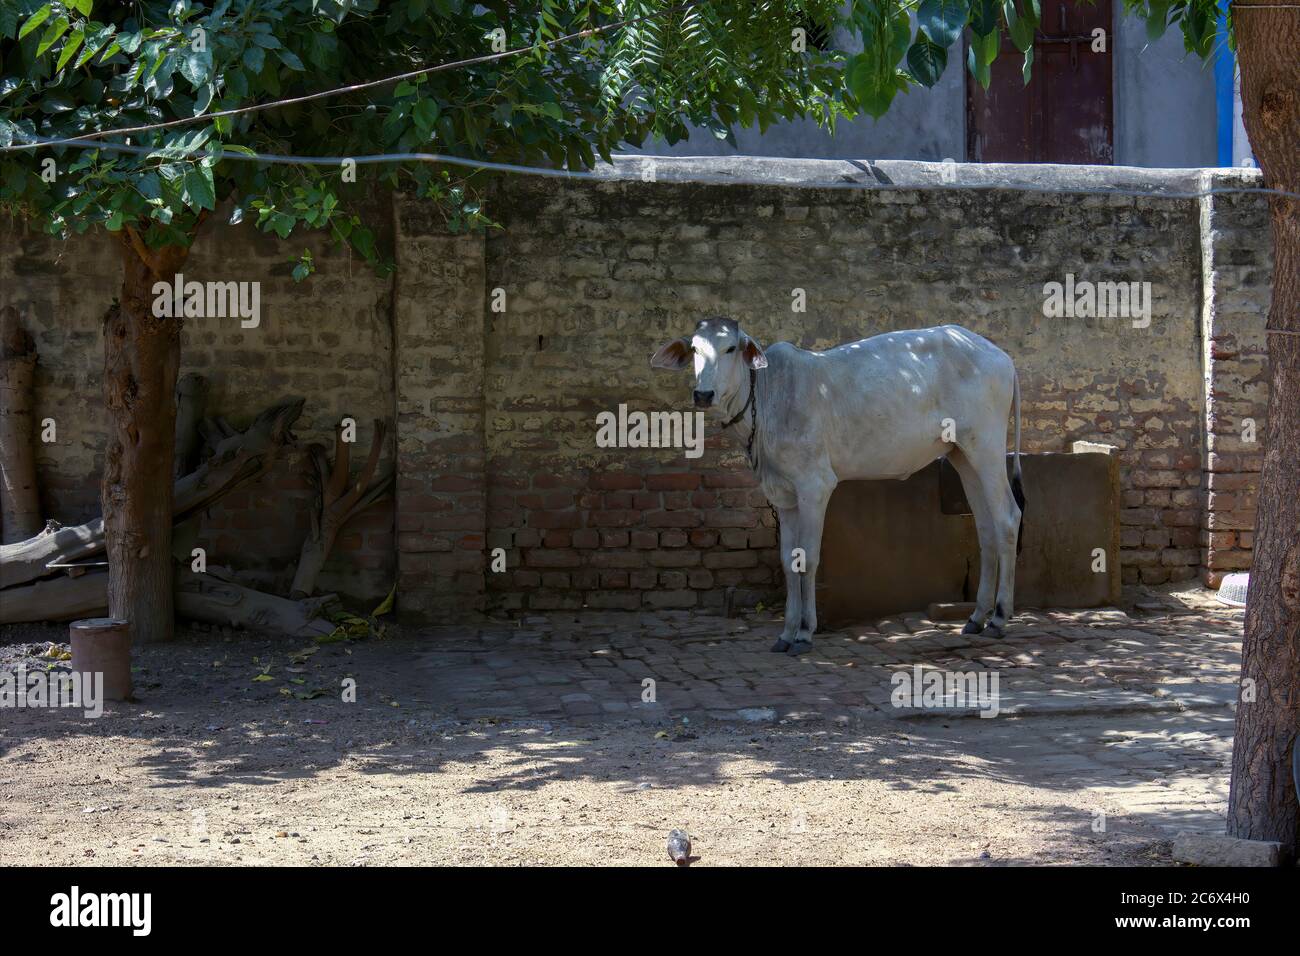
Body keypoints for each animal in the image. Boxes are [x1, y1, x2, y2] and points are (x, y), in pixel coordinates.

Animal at [651, 317, 1025, 655]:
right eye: (695, 349)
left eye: (730, 348)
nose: (703, 394)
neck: (769, 395)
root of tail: (1000, 356)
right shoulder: (783, 496)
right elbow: (788, 559)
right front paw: (785, 633)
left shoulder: (815, 486)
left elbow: (808, 558)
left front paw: (804, 634)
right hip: (962, 454)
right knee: (986, 528)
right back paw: (976, 617)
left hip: (986, 447)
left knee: (1007, 517)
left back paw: (999, 618)